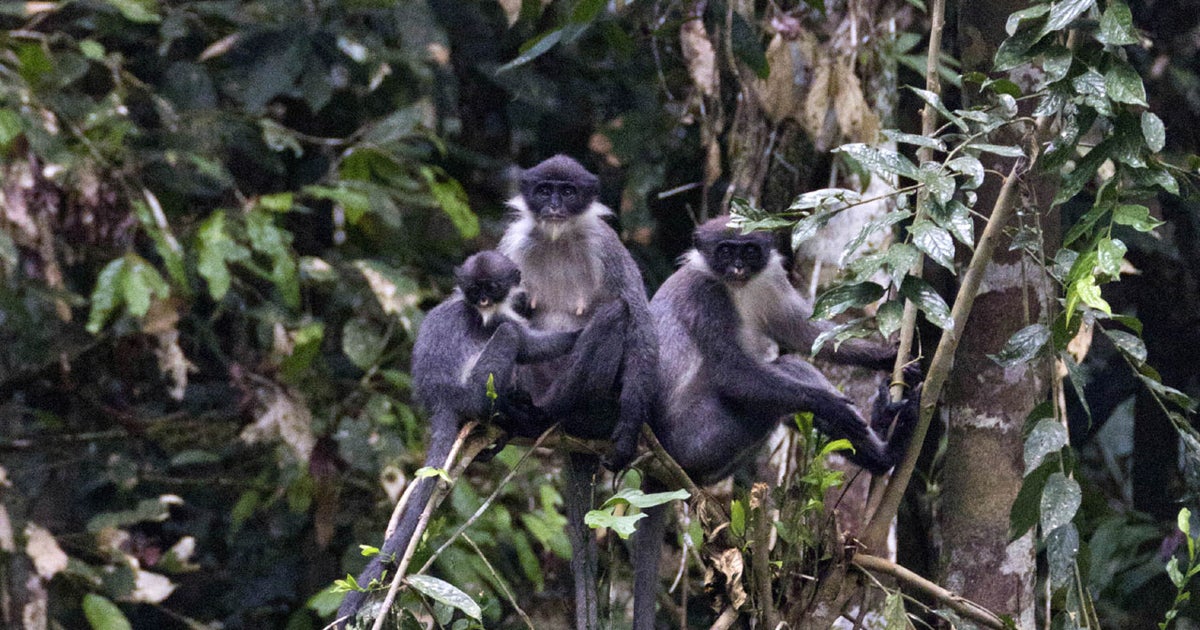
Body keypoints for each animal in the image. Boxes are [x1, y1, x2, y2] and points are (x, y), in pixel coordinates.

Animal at [337, 250, 581, 628]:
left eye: (490, 288)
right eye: (474, 290)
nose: (482, 302)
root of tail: (443, 397)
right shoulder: (493, 323)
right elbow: (526, 345)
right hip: (478, 390)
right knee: (508, 338)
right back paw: (511, 415)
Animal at [497, 155, 660, 630]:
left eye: (567, 192)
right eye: (545, 189)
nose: (553, 205)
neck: (557, 237)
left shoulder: (604, 244)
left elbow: (640, 323)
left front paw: (628, 433)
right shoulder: (513, 244)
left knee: (615, 313)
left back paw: (550, 415)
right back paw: (524, 416)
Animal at [629, 217, 921, 629]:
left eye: (749, 251)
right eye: (725, 251)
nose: (738, 268)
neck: (737, 289)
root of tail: (660, 461)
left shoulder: (771, 280)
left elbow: (809, 335)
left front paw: (887, 356)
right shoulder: (706, 294)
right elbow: (734, 373)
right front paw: (832, 406)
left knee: (790, 371)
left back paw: (883, 441)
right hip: (701, 438)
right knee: (773, 384)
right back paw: (886, 450)